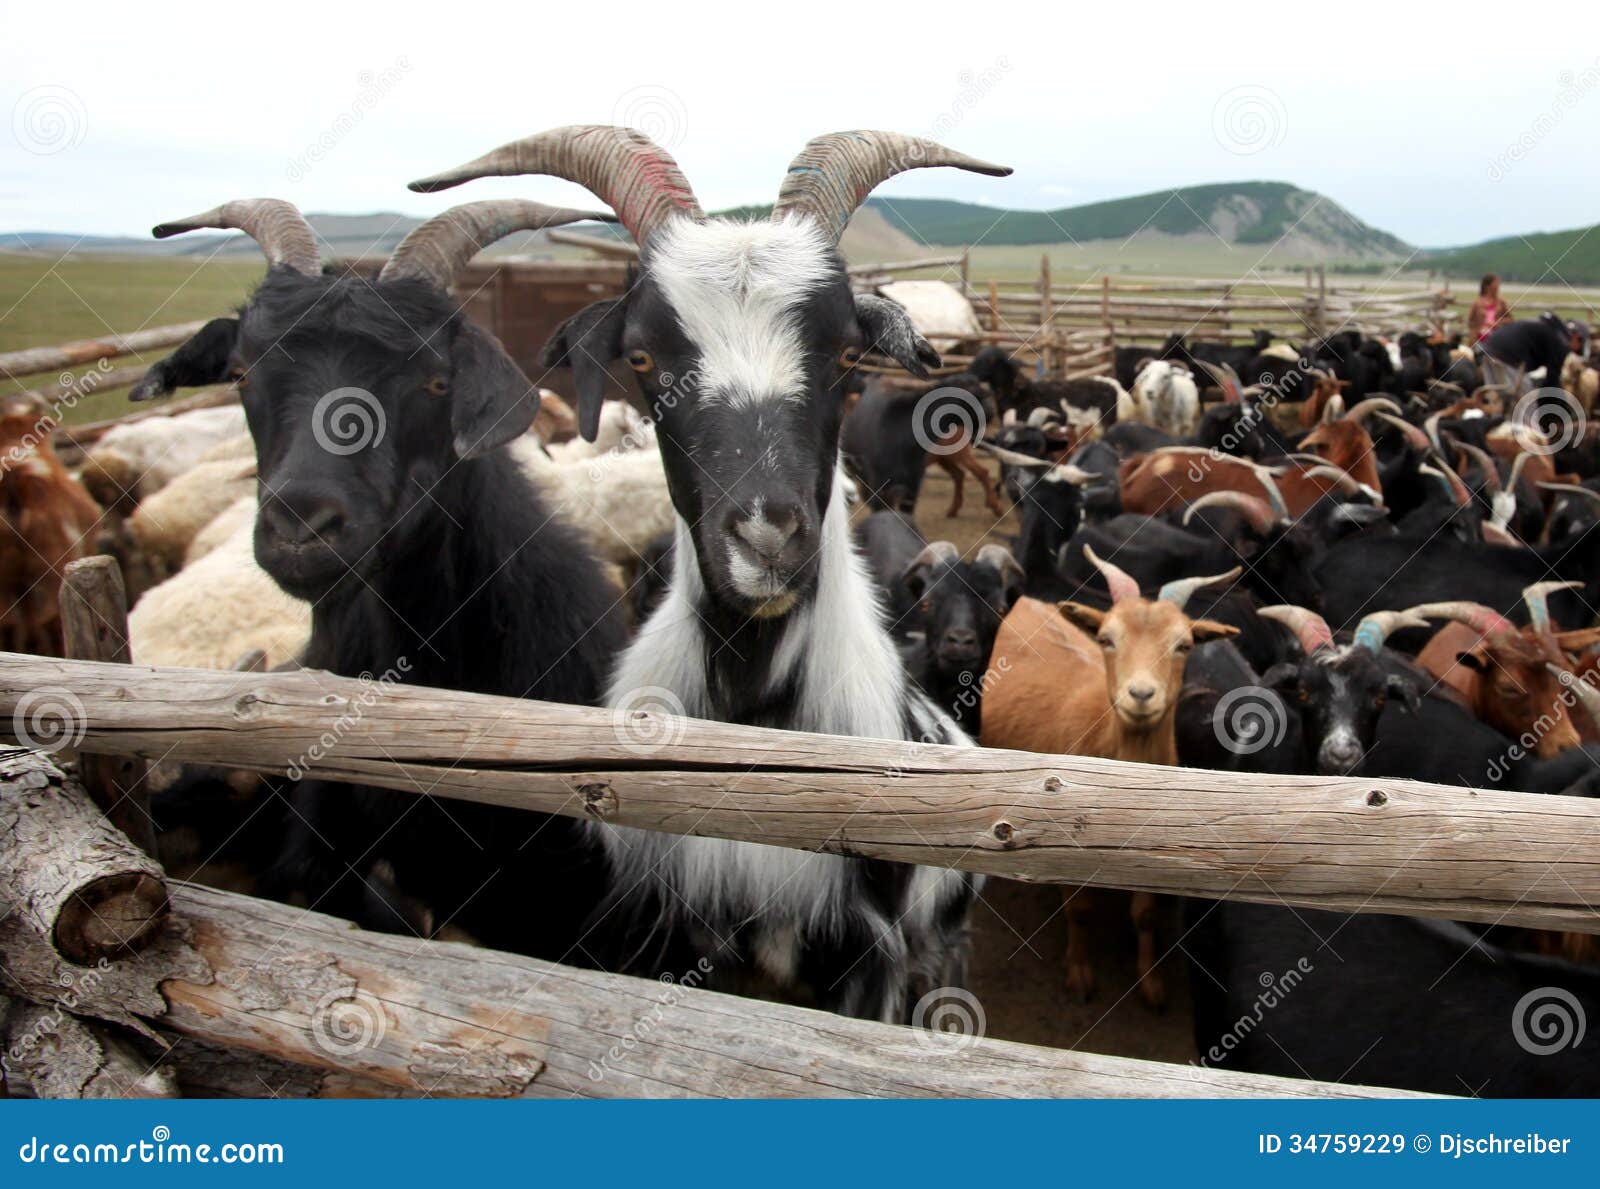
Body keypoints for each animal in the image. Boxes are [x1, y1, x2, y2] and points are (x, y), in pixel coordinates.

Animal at [417, 124, 1013, 1021]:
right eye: (640, 356)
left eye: (846, 353)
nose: (767, 536)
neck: (752, 719)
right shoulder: (668, 927)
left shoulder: (867, 956)